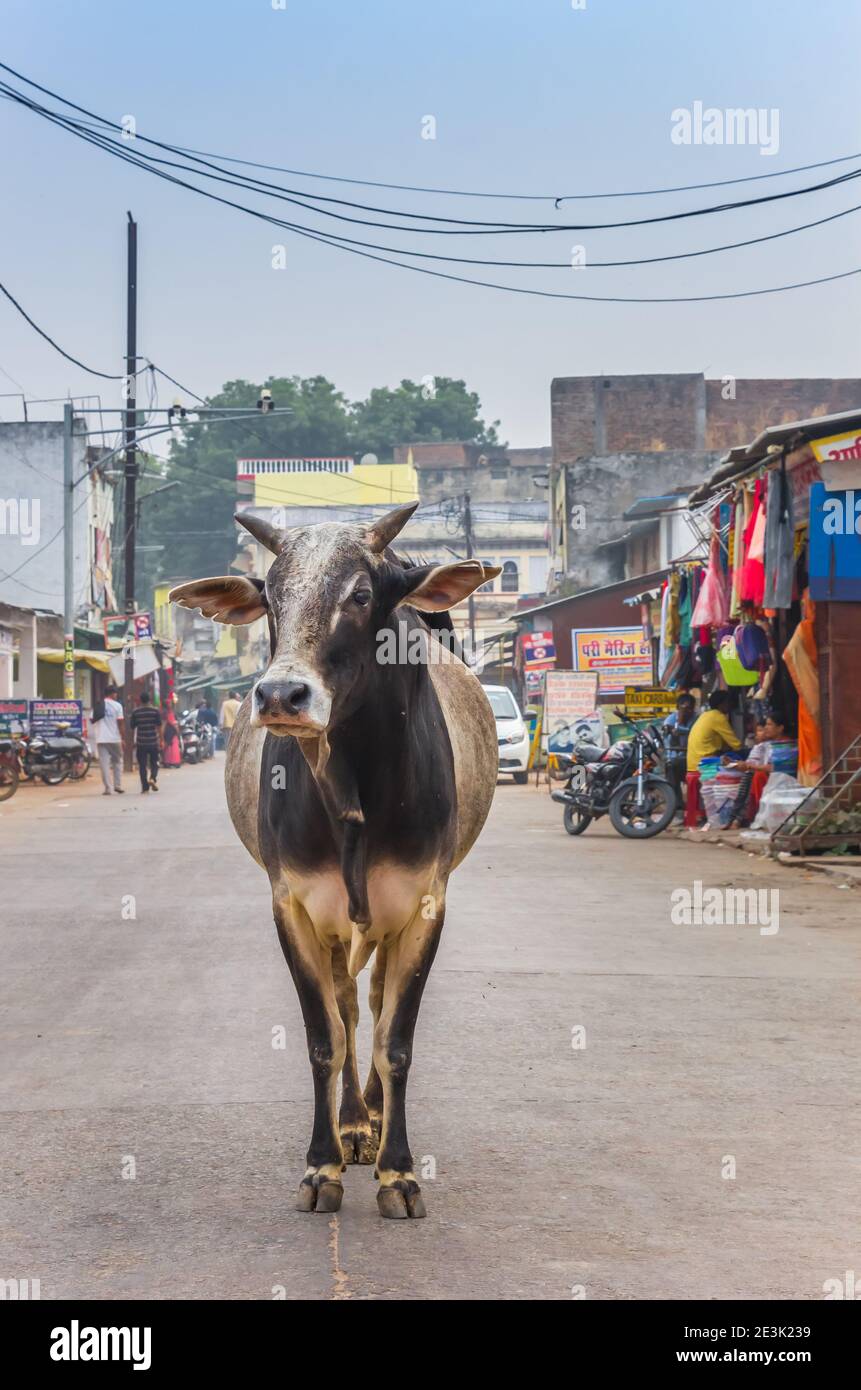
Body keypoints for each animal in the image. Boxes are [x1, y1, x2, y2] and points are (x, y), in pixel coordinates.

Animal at [169, 503, 500, 1219]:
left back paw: (370, 1124)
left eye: (361, 594)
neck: (352, 785)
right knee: (349, 1010)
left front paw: (398, 1171)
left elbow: (394, 1042)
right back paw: (352, 1127)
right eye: (270, 598)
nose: (280, 697)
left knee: (371, 1008)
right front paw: (322, 1164)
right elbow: (325, 1039)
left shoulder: (424, 905)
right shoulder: (292, 905)